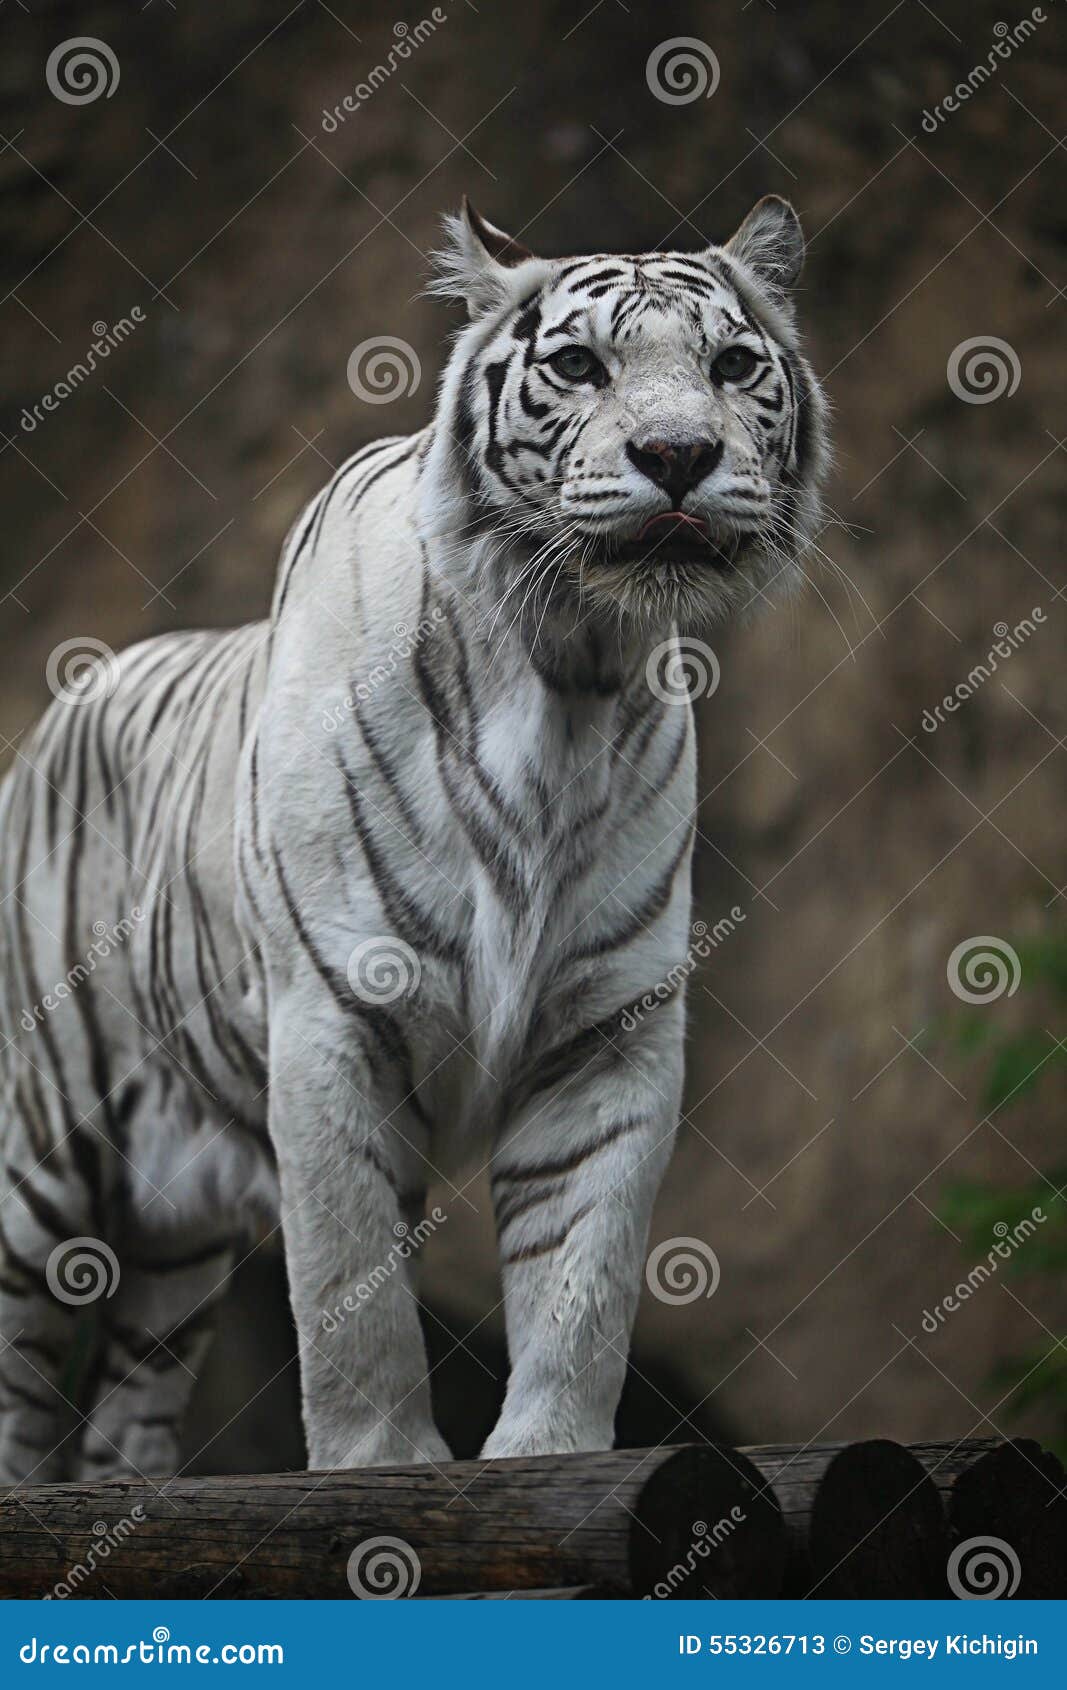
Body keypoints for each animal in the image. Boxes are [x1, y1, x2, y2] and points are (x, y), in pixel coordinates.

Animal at [0, 195, 828, 1482]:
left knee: (125, 1407)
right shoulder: (334, 1014)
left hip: (177, 1236)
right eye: (579, 365)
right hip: (50, 1137)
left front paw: (545, 1457)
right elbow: (357, 1298)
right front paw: (380, 1465)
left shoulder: (608, 1032)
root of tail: (72, 696)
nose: (678, 455)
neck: (570, 672)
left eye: (733, 366)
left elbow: (583, 1274)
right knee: (23, 1359)